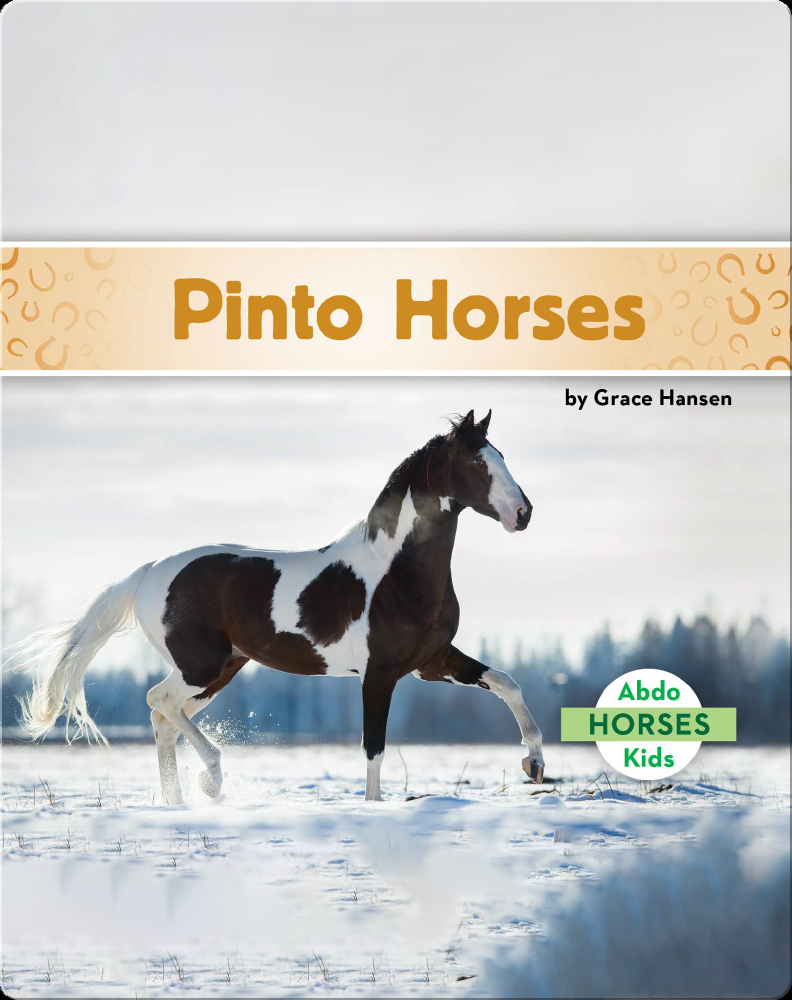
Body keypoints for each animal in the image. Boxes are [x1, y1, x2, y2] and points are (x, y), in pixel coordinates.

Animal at [18, 409, 545, 804]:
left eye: (501, 456)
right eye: (479, 464)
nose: (523, 513)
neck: (397, 572)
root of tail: (149, 572)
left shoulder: (429, 662)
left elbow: (508, 683)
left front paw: (534, 763)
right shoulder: (379, 674)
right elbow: (373, 748)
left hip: (221, 669)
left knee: (162, 718)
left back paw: (178, 803)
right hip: (200, 666)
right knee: (158, 701)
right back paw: (211, 779)